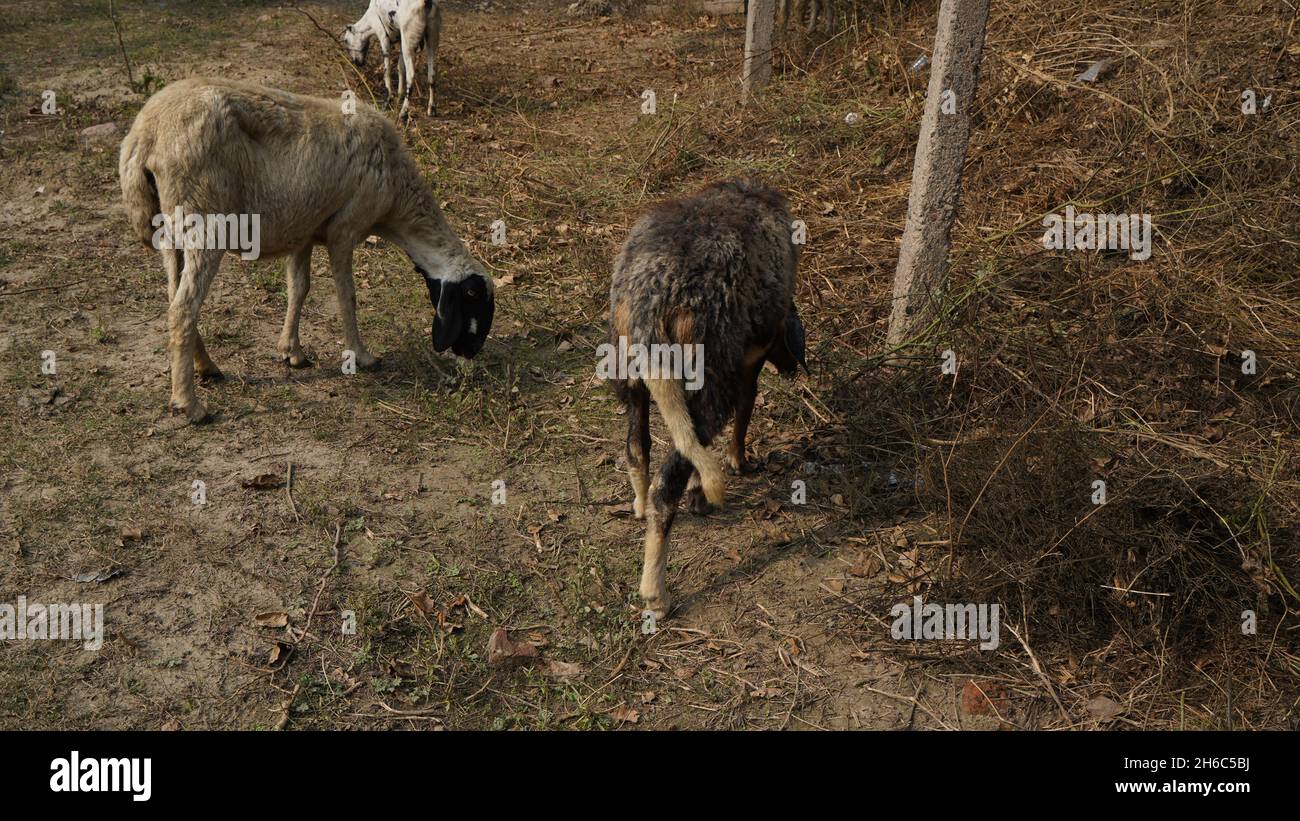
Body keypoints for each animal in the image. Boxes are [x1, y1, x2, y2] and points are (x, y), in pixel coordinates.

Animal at [119, 77, 494, 424]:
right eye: (474, 298)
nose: (471, 356)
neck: (396, 200)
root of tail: (144, 135)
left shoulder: (303, 232)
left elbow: (298, 289)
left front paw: (292, 352)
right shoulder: (345, 229)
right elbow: (347, 295)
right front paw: (361, 355)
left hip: (170, 230)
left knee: (173, 297)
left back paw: (206, 367)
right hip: (204, 221)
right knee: (183, 308)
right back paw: (190, 404)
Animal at [607, 179, 807, 618]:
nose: (792, 369)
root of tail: (652, 297)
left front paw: (700, 490)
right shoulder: (746, 364)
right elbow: (745, 413)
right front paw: (736, 465)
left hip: (629, 371)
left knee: (637, 448)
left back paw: (639, 505)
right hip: (706, 377)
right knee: (667, 485)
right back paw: (656, 594)